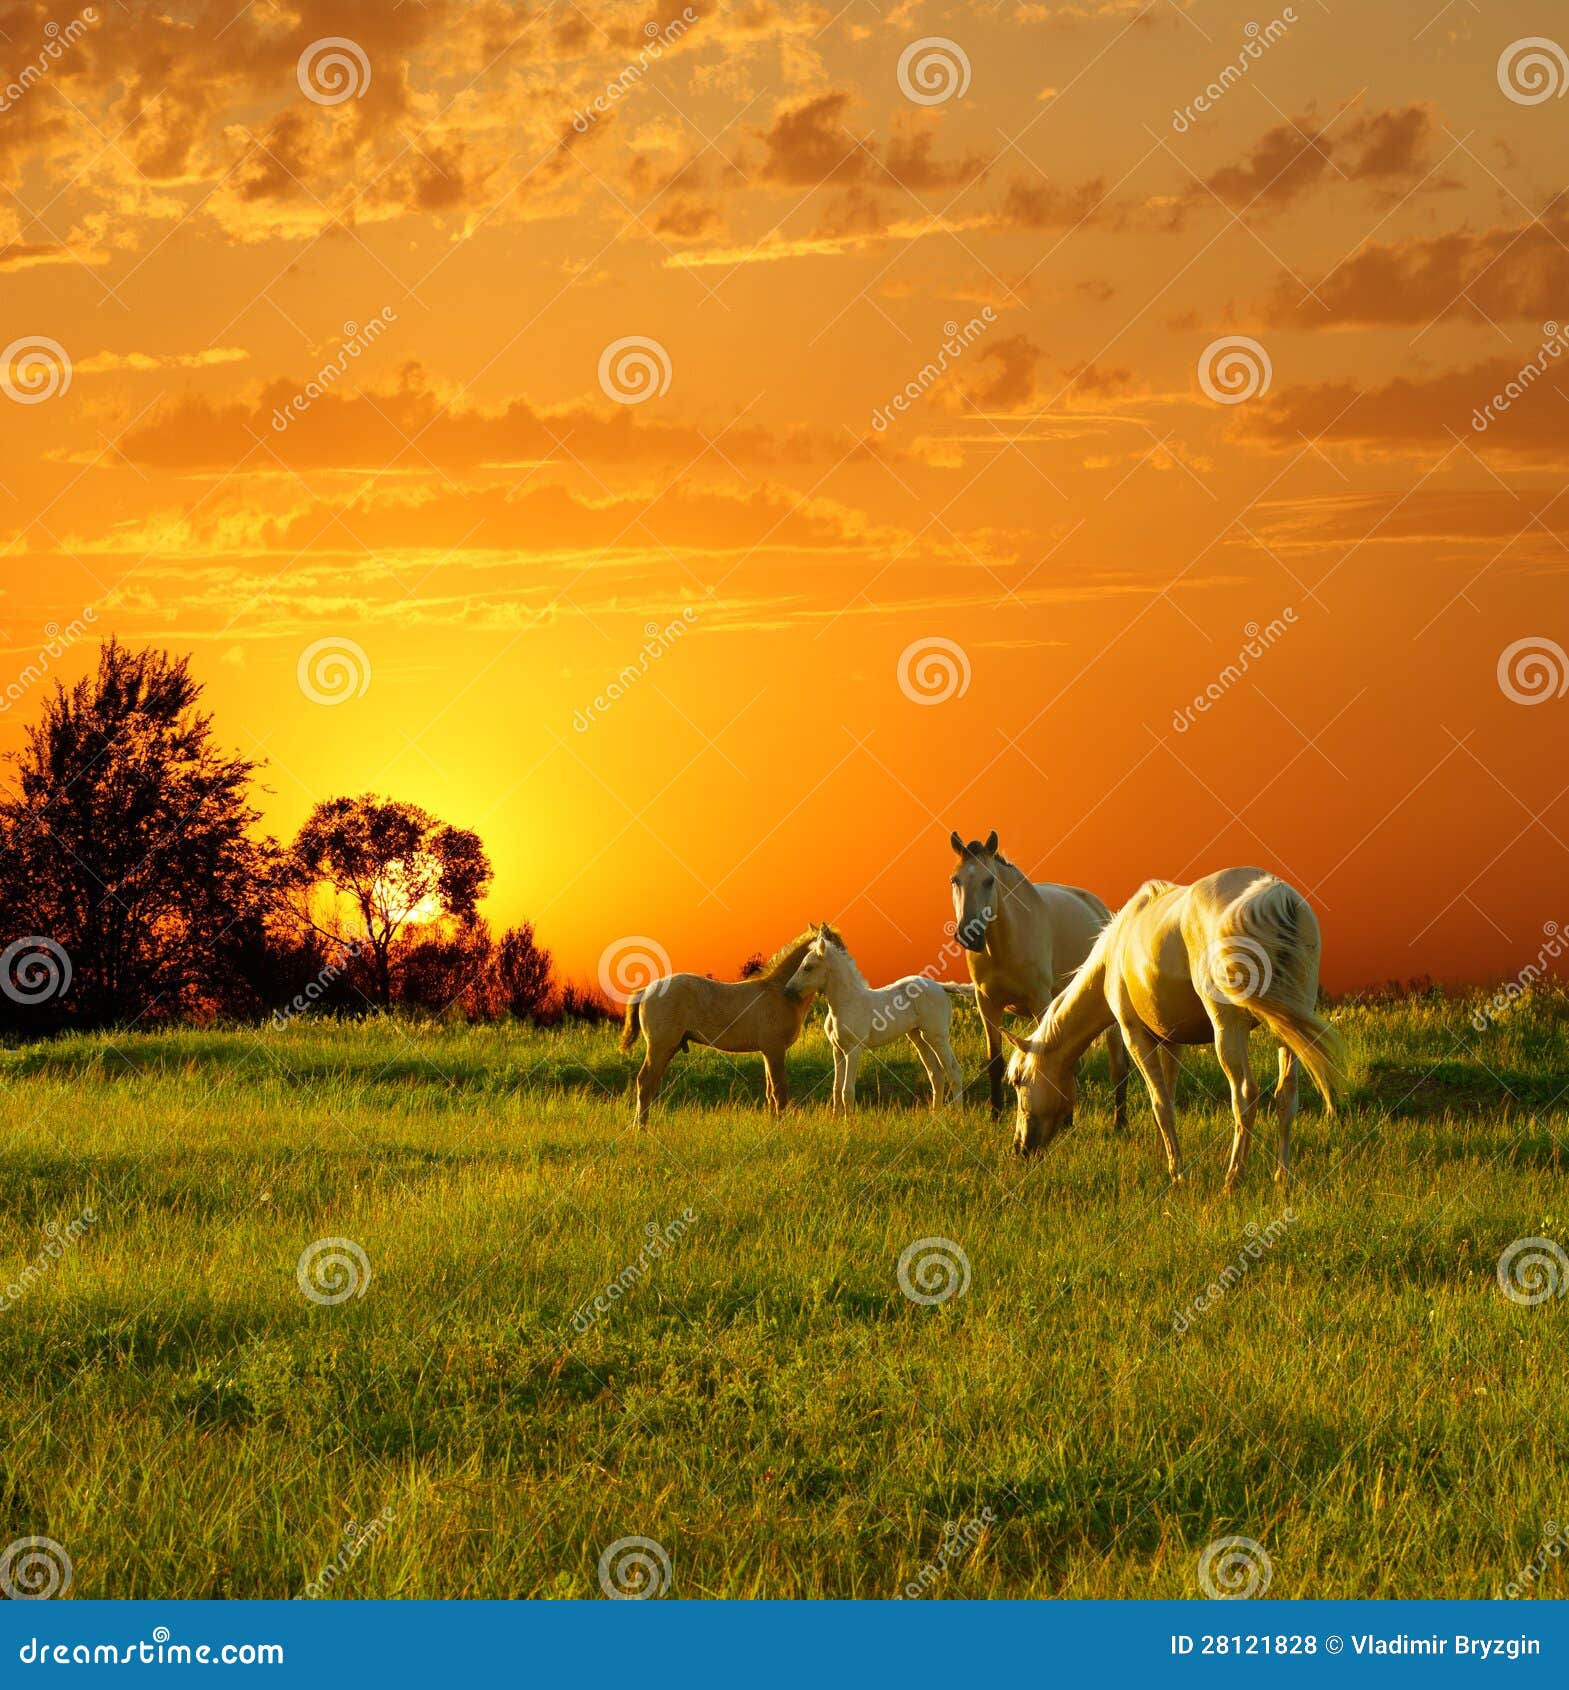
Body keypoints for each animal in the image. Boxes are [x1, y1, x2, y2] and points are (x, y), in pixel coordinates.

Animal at [619, 926, 834, 1126]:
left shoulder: (768, 1051)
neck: (779, 992)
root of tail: (646, 989)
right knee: (645, 1082)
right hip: (660, 1047)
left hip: (667, 1049)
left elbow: (770, 1090)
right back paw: (641, 1128)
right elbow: (779, 1090)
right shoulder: (775, 1049)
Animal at [785, 929, 963, 1112]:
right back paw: (935, 1112)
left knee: (954, 1071)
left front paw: (848, 1119)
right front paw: (836, 1116)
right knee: (936, 1074)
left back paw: (957, 1113)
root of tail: (940, 986)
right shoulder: (837, 1050)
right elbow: (836, 1088)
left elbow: (847, 1091)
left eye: (808, 967)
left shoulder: (853, 1049)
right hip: (919, 1038)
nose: (787, 991)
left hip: (937, 1037)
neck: (846, 1003)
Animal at [949, 831, 1130, 1126]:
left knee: (1119, 1067)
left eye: (989, 880)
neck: (1005, 944)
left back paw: (1119, 1123)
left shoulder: (1040, 1002)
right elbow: (995, 1061)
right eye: (955, 880)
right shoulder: (987, 1003)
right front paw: (995, 1116)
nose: (969, 934)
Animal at [1003, 868, 1345, 1191]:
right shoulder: (1172, 1042)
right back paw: (1281, 1177)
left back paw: (1233, 1179)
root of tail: (1274, 894)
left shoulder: (1134, 1035)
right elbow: (1167, 1099)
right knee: (1286, 1095)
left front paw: (1178, 1174)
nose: (1020, 1148)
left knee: (1245, 1095)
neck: (1116, 949)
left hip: (1229, 1029)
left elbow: (1159, 1103)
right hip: (1290, 1027)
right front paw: (1167, 1157)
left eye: (1018, 1081)